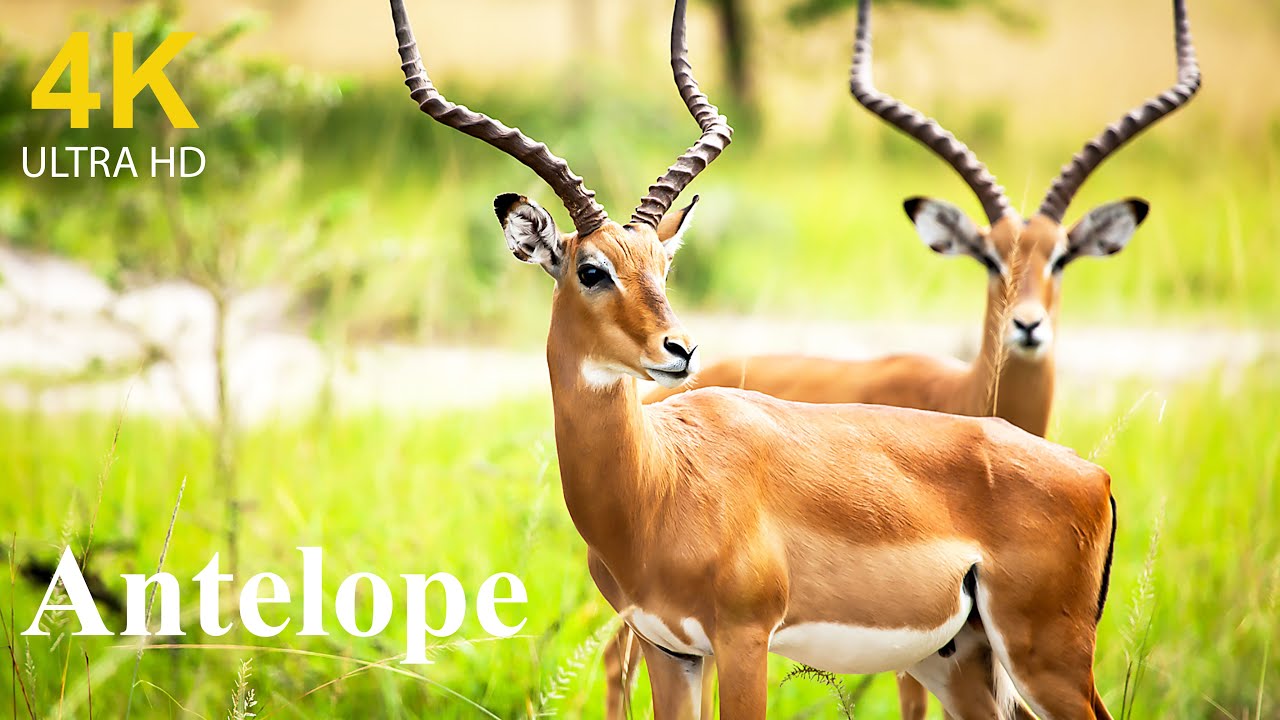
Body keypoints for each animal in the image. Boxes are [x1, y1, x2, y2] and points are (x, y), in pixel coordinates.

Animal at [390, 1, 1119, 718]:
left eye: (663, 267)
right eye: (592, 270)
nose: (680, 349)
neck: (659, 483)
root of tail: (1095, 478)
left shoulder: (743, 639)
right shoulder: (672, 647)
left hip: (1042, 658)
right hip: (959, 660)